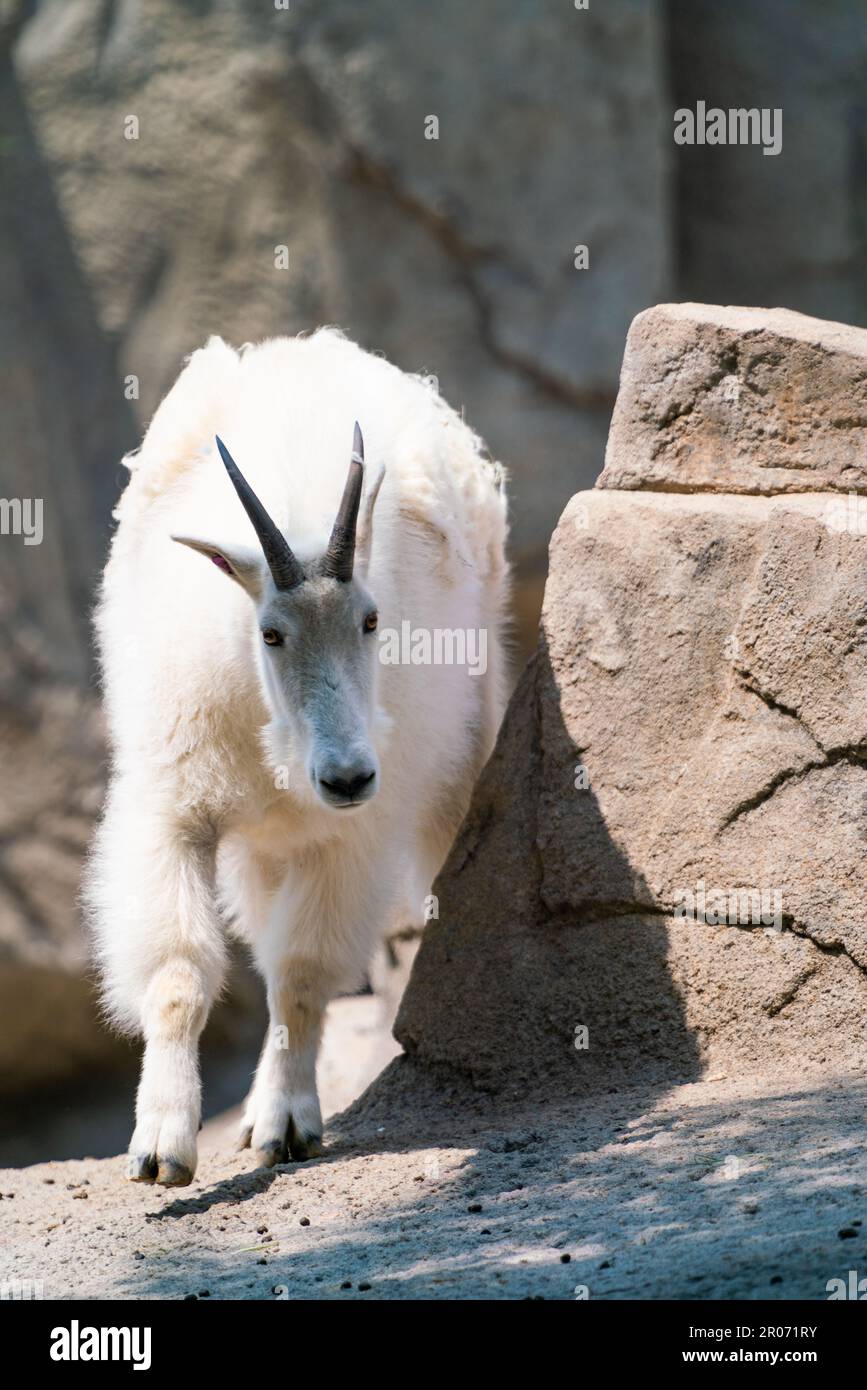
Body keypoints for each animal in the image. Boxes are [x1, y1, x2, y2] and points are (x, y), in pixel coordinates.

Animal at [85, 329, 509, 1185]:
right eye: (272, 633)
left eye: (371, 621)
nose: (346, 776)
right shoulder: (174, 809)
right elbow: (178, 973)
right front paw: (162, 1144)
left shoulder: (347, 836)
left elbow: (303, 974)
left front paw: (287, 1124)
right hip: (260, 842)